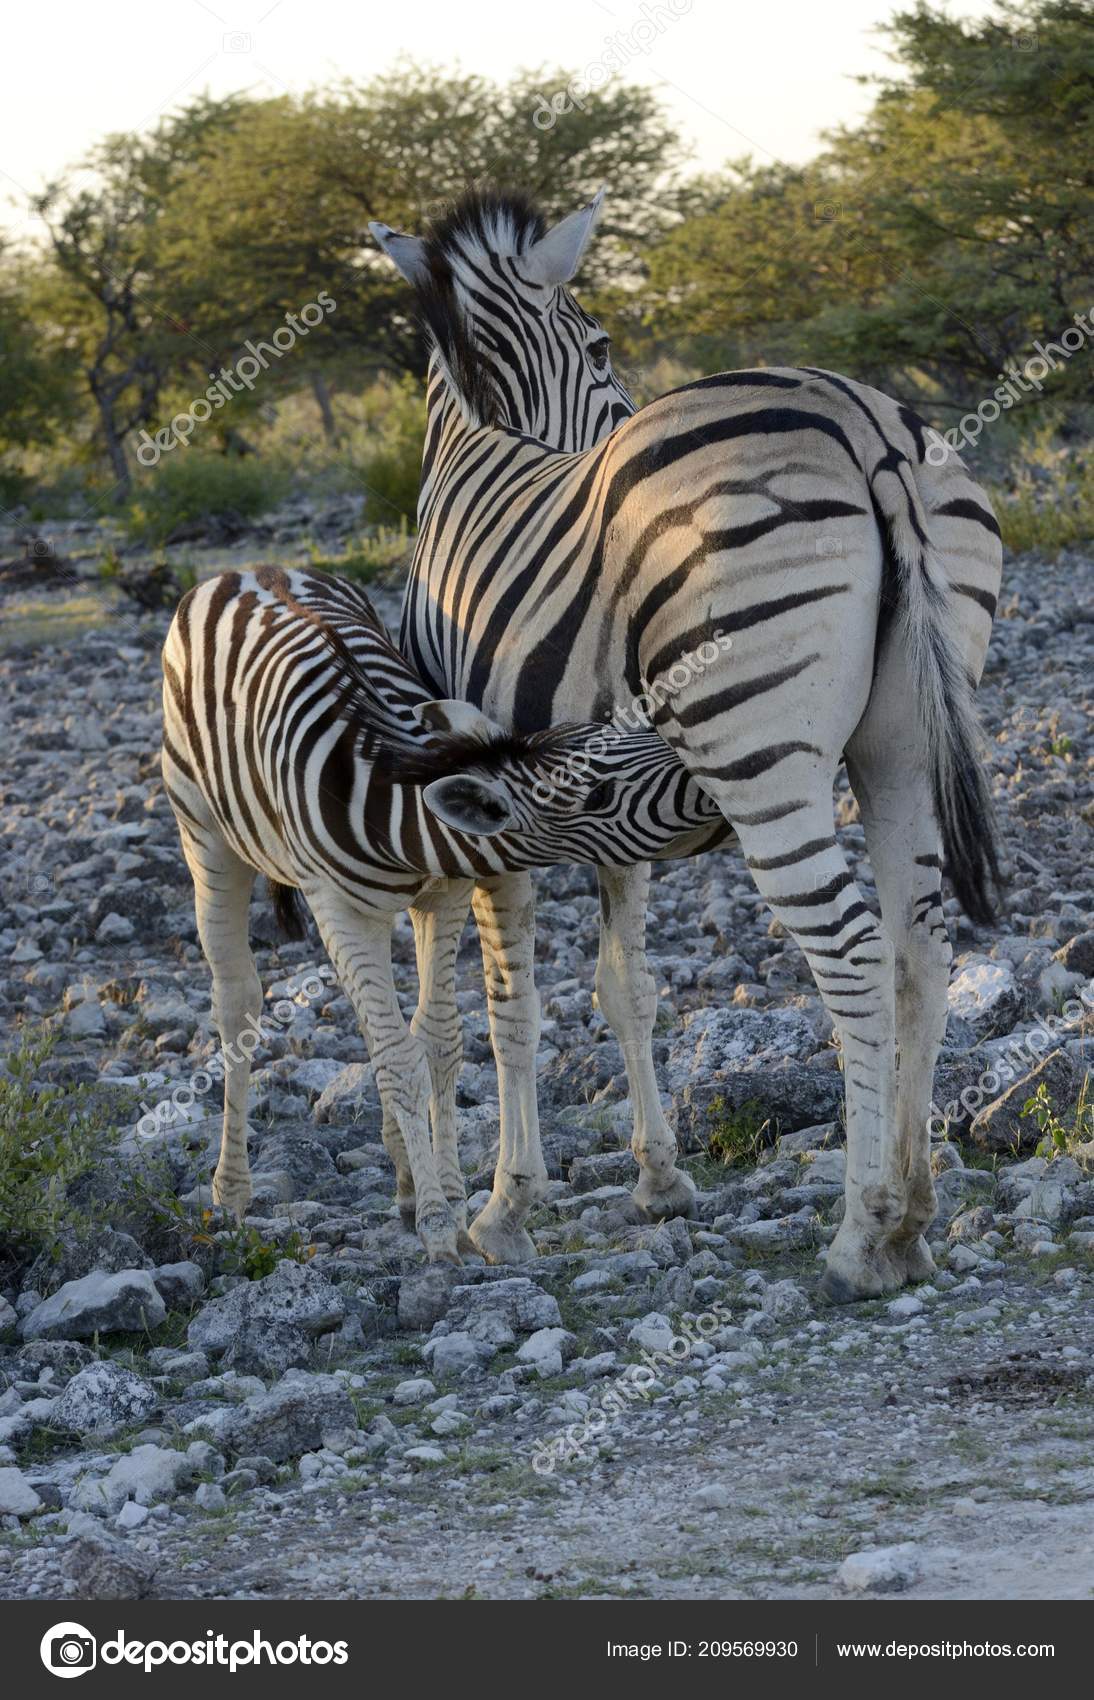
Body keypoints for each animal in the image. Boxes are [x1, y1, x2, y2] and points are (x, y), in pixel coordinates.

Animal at [160, 563, 725, 1262]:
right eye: (598, 794)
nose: (710, 773)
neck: (393, 805)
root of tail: (241, 570)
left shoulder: (445, 896)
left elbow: (438, 1042)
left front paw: (450, 1201)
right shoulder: (336, 906)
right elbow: (400, 1059)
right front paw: (436, 1224)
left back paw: (404, 1180)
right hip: (204, 836)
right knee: (237, 1003)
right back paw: (232, 1192)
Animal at [370, 187, 1004, 1299]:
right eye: (600, 343)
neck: (481, 443)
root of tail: (864, 425)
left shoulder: (491, 813)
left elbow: (508, 1005)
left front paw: (503, 1207)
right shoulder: (601, 811)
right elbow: (624, 988)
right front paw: (659, 1179)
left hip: (758, 752)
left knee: (850, 949)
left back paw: (861, 1230)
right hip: (905, 742)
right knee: (919, 941)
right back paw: (915, 1215)